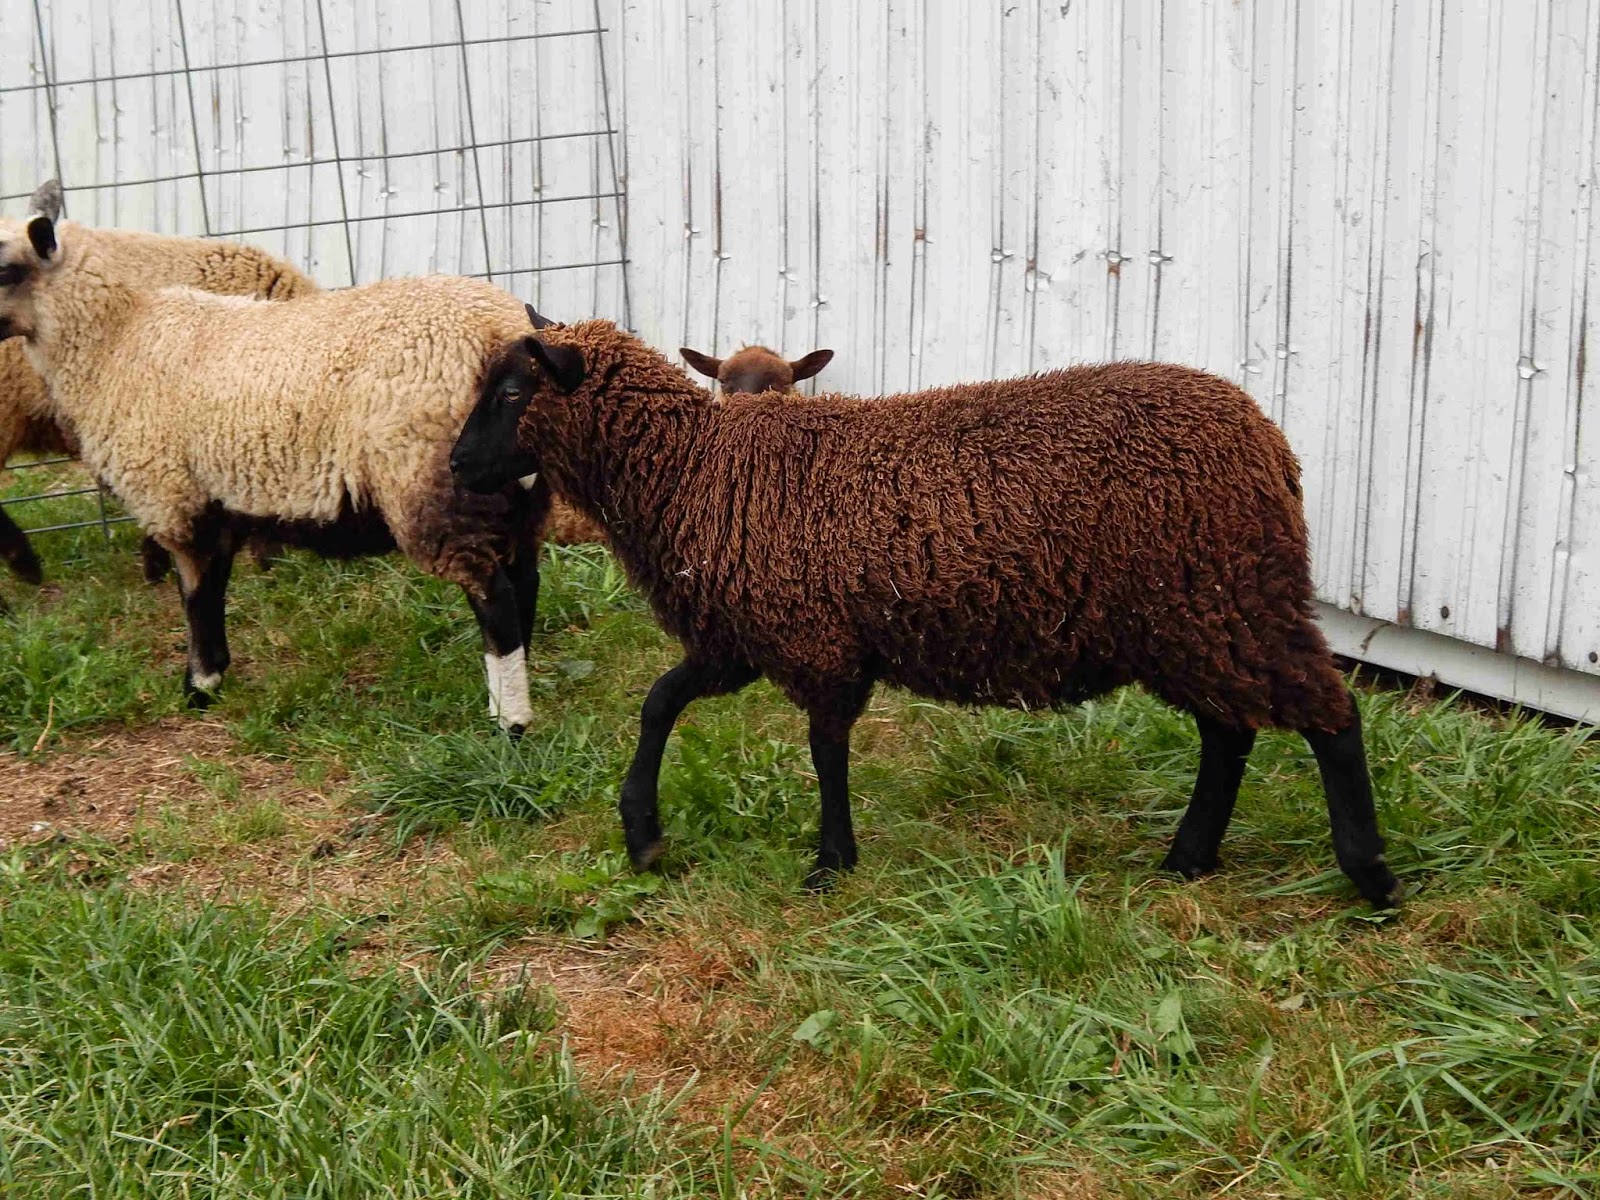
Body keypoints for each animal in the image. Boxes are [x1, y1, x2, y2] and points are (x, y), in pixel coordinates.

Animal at [449, 313, 1404, 908]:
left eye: (513, 393)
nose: (455, 466)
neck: (697, 470)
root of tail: (1270, 444)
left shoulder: (814, 640)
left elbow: (825, 751)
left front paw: (830, 865)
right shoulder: (743, 639)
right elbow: (658, 704)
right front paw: (643, 833)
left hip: (1226, 596)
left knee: (1327, 713)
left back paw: (1371, 877)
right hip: (1196, 617)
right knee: (1230, 730)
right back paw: (1188, 859)